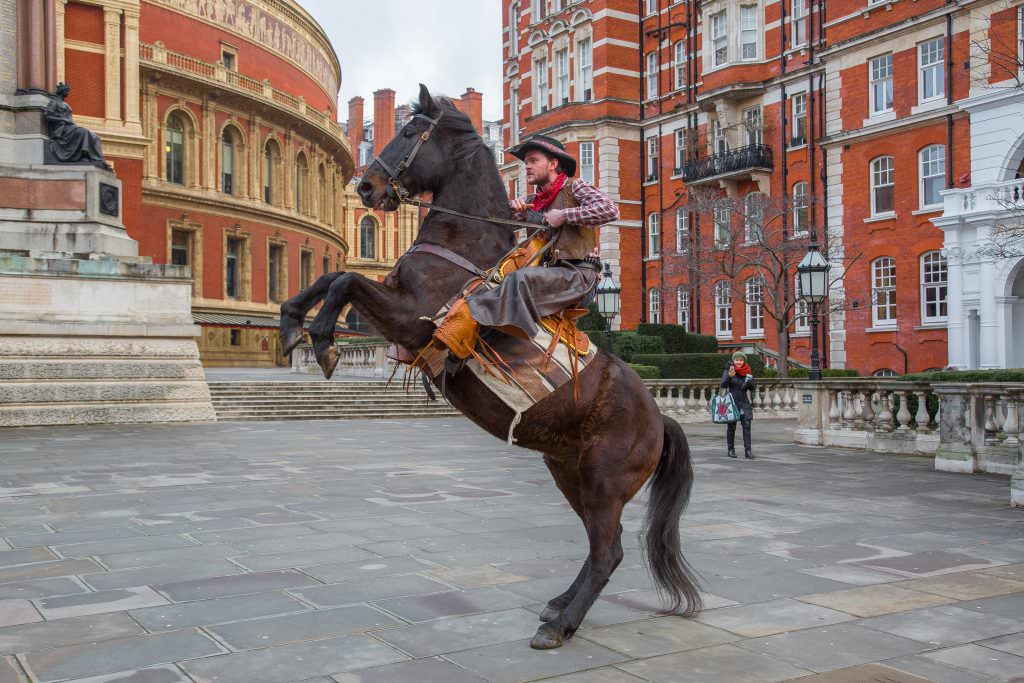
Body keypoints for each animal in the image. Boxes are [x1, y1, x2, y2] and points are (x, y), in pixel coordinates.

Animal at [279, 85, 701, 649]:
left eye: (409, 132)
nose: (367, 186)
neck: (464, 244)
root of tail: (659, 417)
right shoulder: (397, 308)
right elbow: (330, 280)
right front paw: (291, 323)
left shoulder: (413, 320)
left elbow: (345, 281)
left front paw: (323, 340)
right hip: (567, 470)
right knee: (599, 546)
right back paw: (559, 606)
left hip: (602, 480)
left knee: (607, 550)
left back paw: (561, 625)